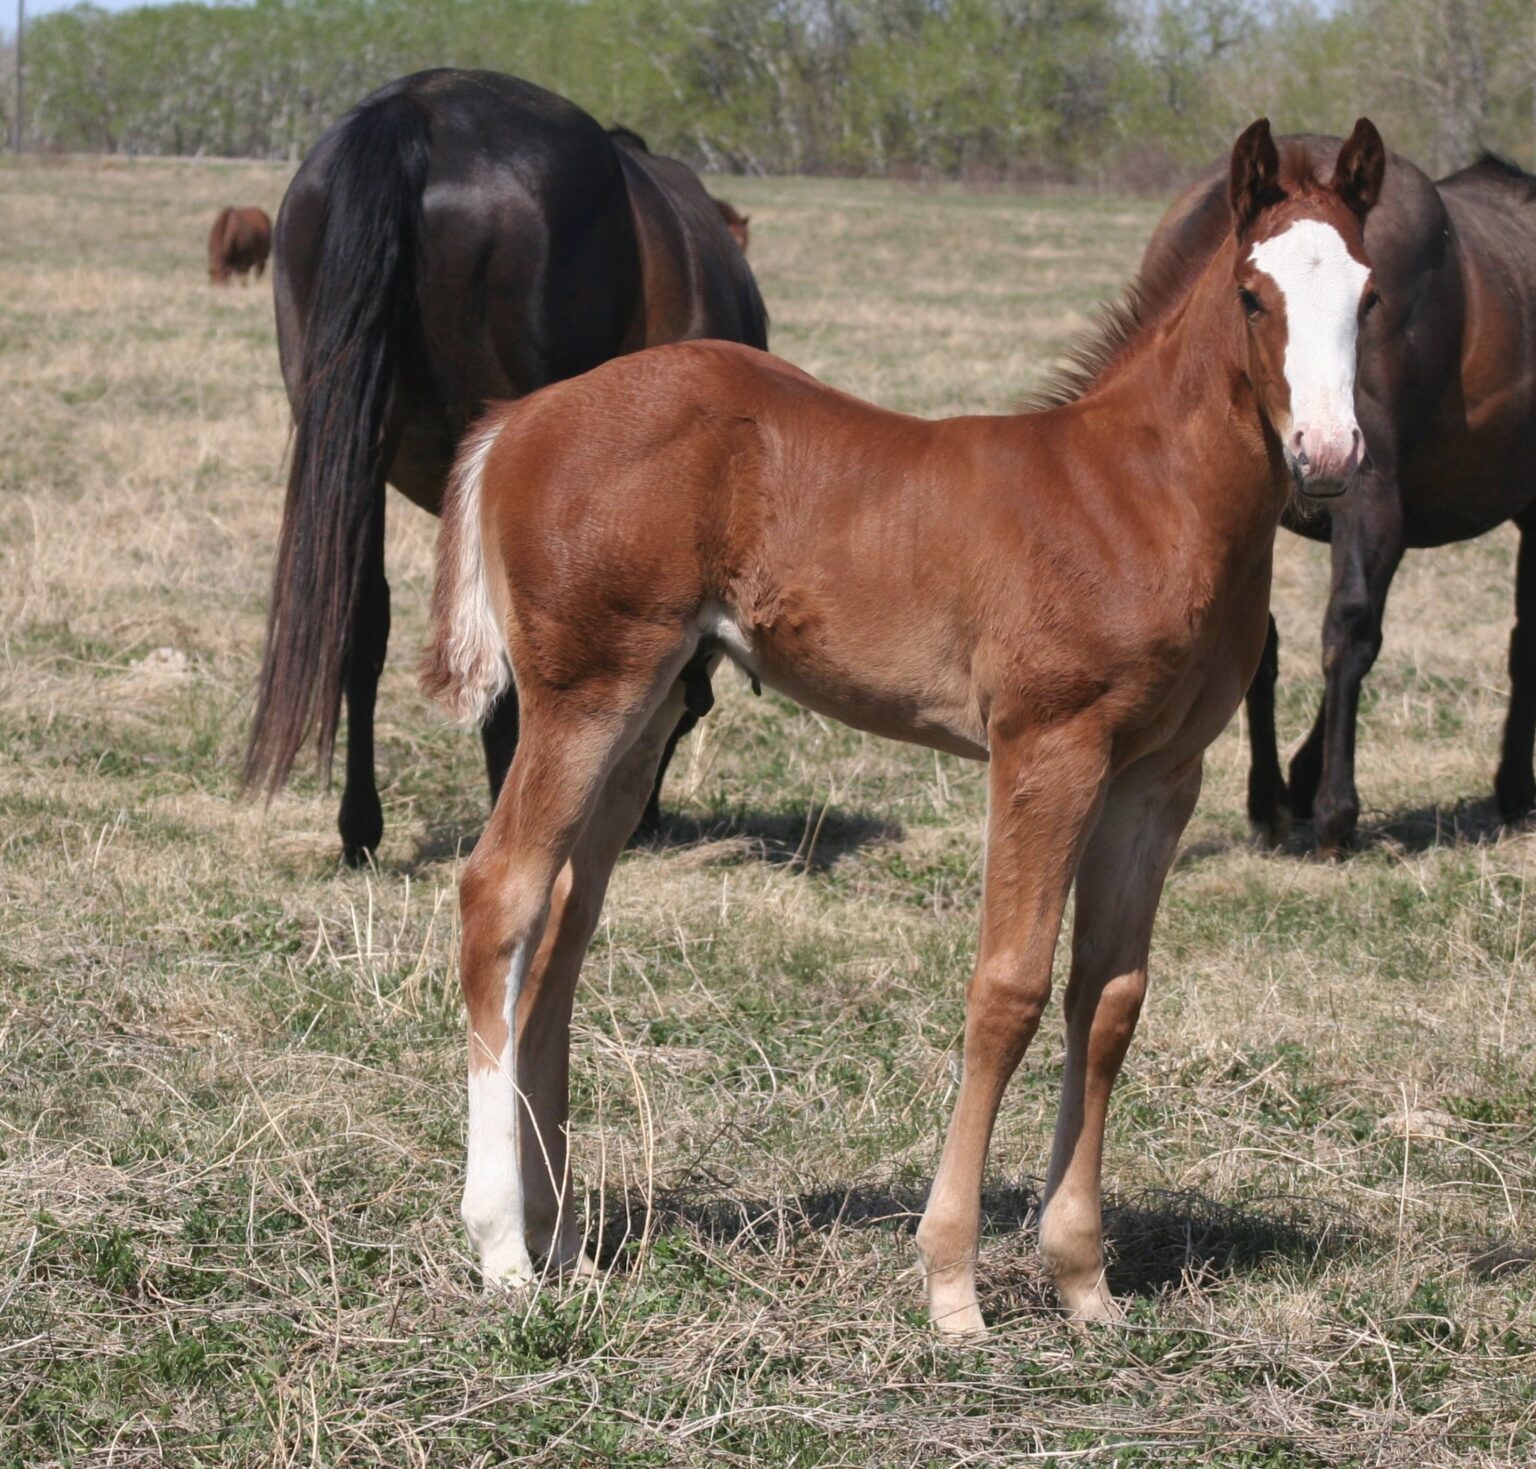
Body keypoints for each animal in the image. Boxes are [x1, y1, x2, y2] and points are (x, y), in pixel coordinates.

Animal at [422, 118, 1387, 1332]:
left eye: (1371, 294)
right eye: (1254, 295)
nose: (1329, 457)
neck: (1140, 495)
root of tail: (516, 420)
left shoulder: (1160, 776)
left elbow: (1109, 997)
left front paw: (1086, 1282)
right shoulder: (1047, 747)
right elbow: (1010, 987)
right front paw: (953, 1282)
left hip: (645, 709)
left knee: (564, 923)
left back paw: (563, 1239)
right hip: (583, 691)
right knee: (498, 893)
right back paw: (502, 1247)